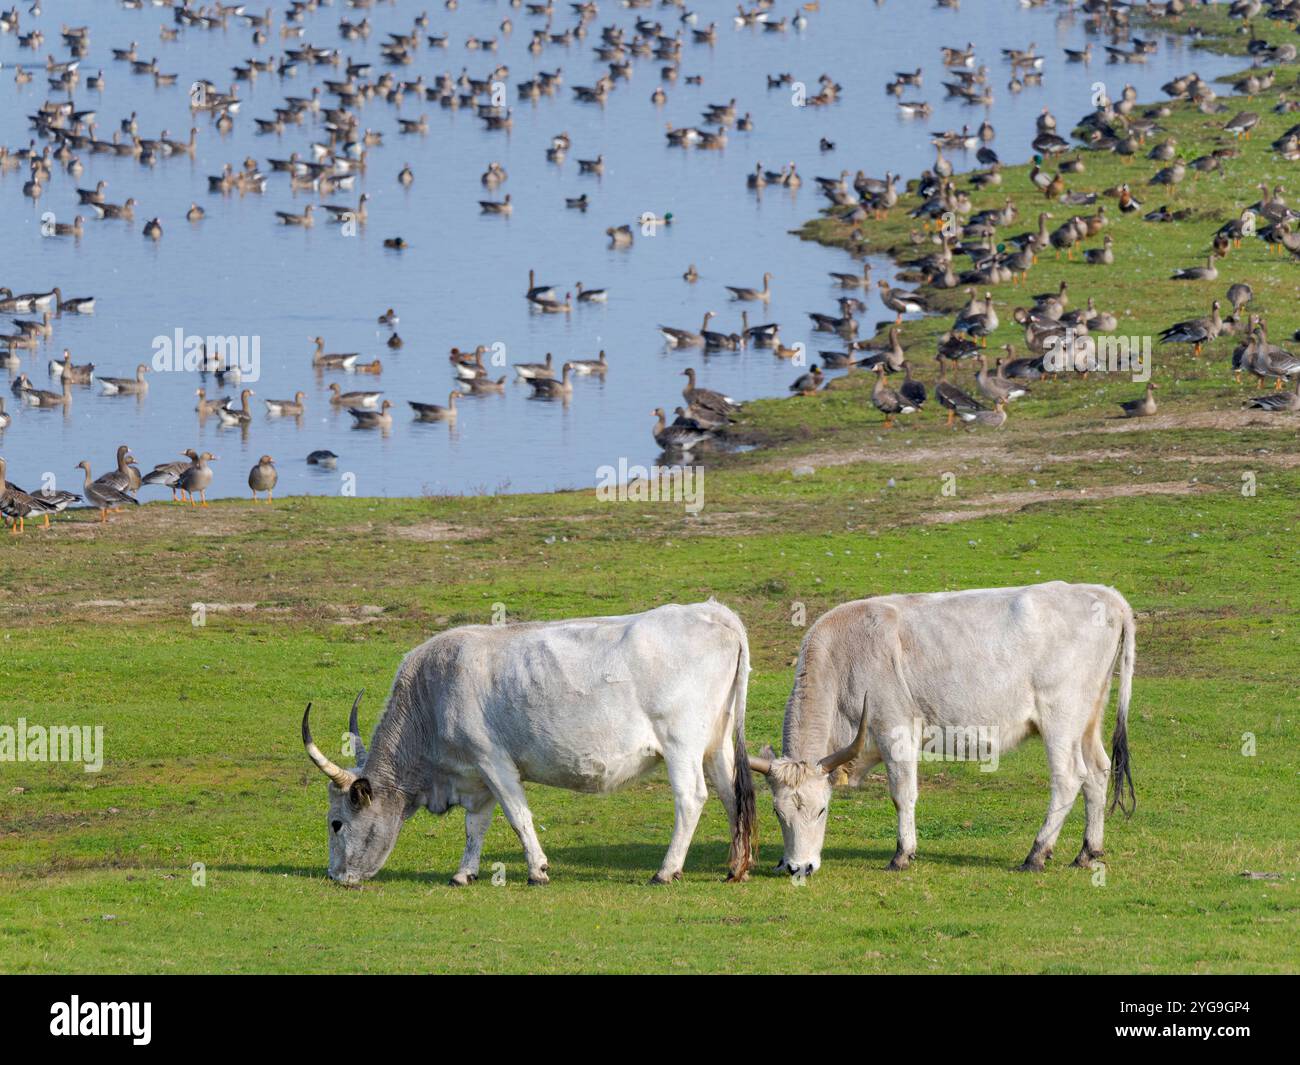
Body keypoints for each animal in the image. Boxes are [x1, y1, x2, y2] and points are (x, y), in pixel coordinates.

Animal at [301, 601, 757, 887]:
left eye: (336, 822)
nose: (335, 876)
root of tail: (711, 611)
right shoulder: (476, 775)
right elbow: (476, 825)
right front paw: (464, 873)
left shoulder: (493, 761)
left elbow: (518, 816)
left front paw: (537, 870)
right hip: (716, 745)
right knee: (729, 795)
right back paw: (736, 867)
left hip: (681, 744)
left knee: (692, 798)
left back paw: (666, 870)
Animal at [748, 582, 1136, 876]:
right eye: (778, 813)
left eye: (822, 810)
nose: (799, 867)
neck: (844, 657)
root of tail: (1105, 594)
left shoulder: (896, 731)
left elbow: (902, 794)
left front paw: (902, 854)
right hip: (1087, 722)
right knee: (1098, 773)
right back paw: (1088, 851)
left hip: (1060, 720)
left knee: (1069, 779)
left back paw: (1037, 853)